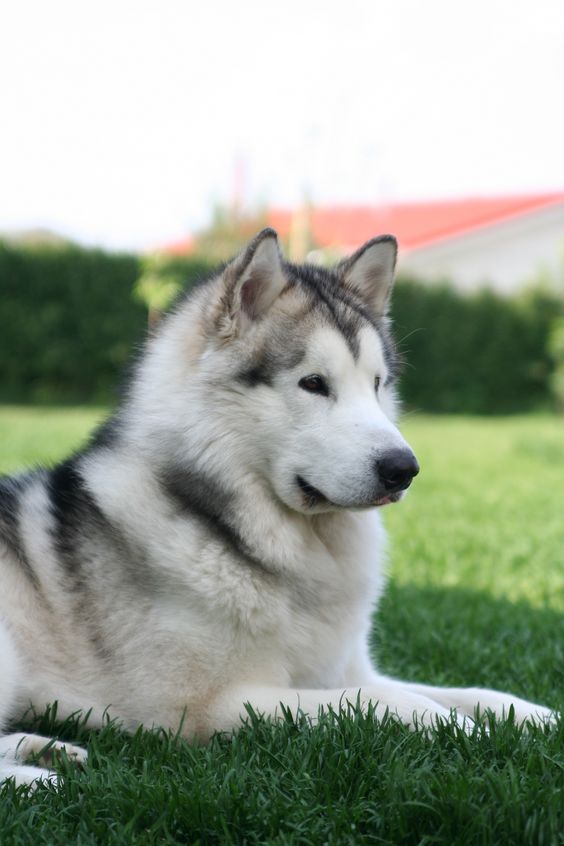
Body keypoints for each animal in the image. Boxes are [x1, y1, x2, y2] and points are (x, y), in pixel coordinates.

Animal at [0, 229, 555, 786]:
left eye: (377, 385)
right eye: (313, 383)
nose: (405, 468)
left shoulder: (345, 667)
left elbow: (463, 692)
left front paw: (533, 717)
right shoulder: (204, 710)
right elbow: (388, 701)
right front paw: (464, 730)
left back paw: (43, 749)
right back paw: (38, 779)